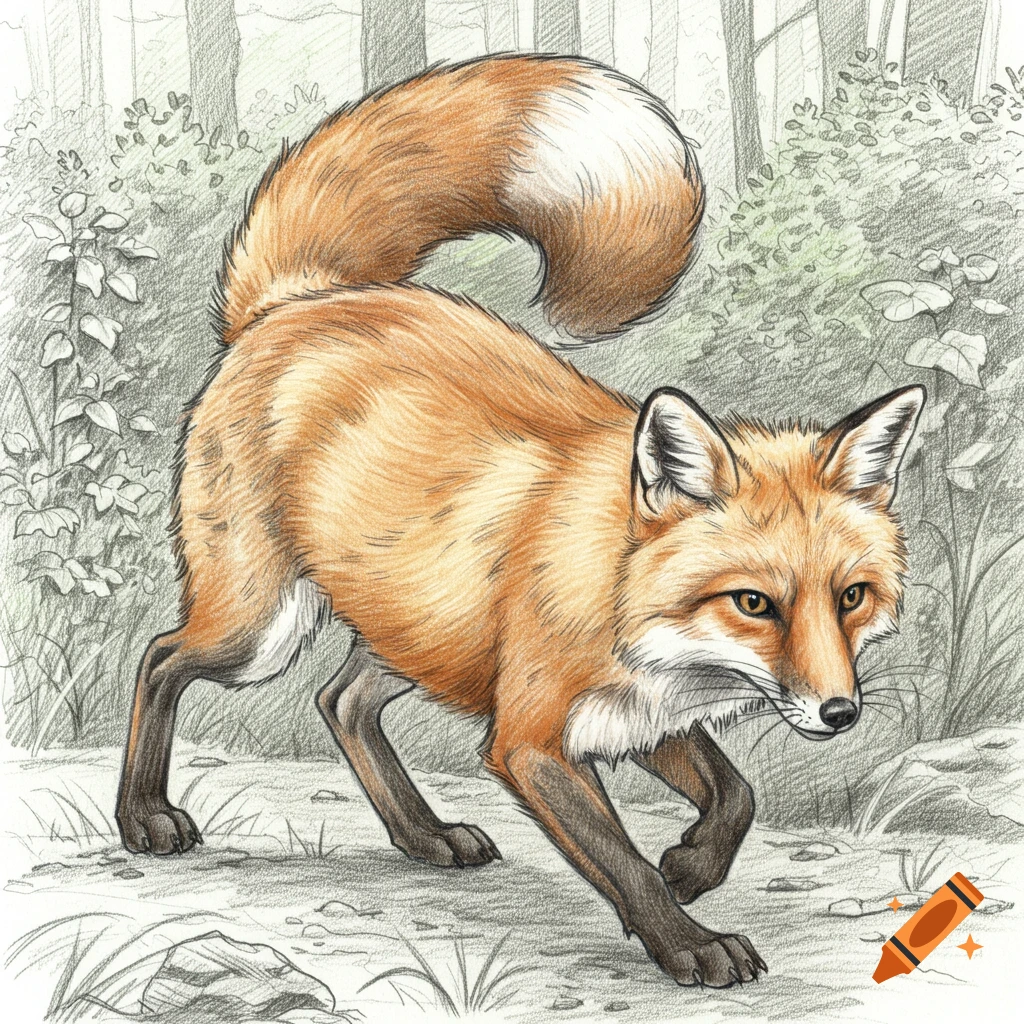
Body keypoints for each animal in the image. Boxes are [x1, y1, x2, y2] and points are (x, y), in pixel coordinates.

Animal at [116, 54, 925, 988]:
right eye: (754, 603)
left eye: (852, 597)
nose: (840, 713)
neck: (618, 595)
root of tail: (304, 299)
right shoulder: (531, 740)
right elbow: (623, 862)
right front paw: (688, 939)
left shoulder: (635, 718)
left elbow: (737, 794)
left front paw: (693, 864)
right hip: (261, 629)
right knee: (162, 658)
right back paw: (144, 817)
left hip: (420, 631)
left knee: (341, 701)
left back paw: (423, 835)